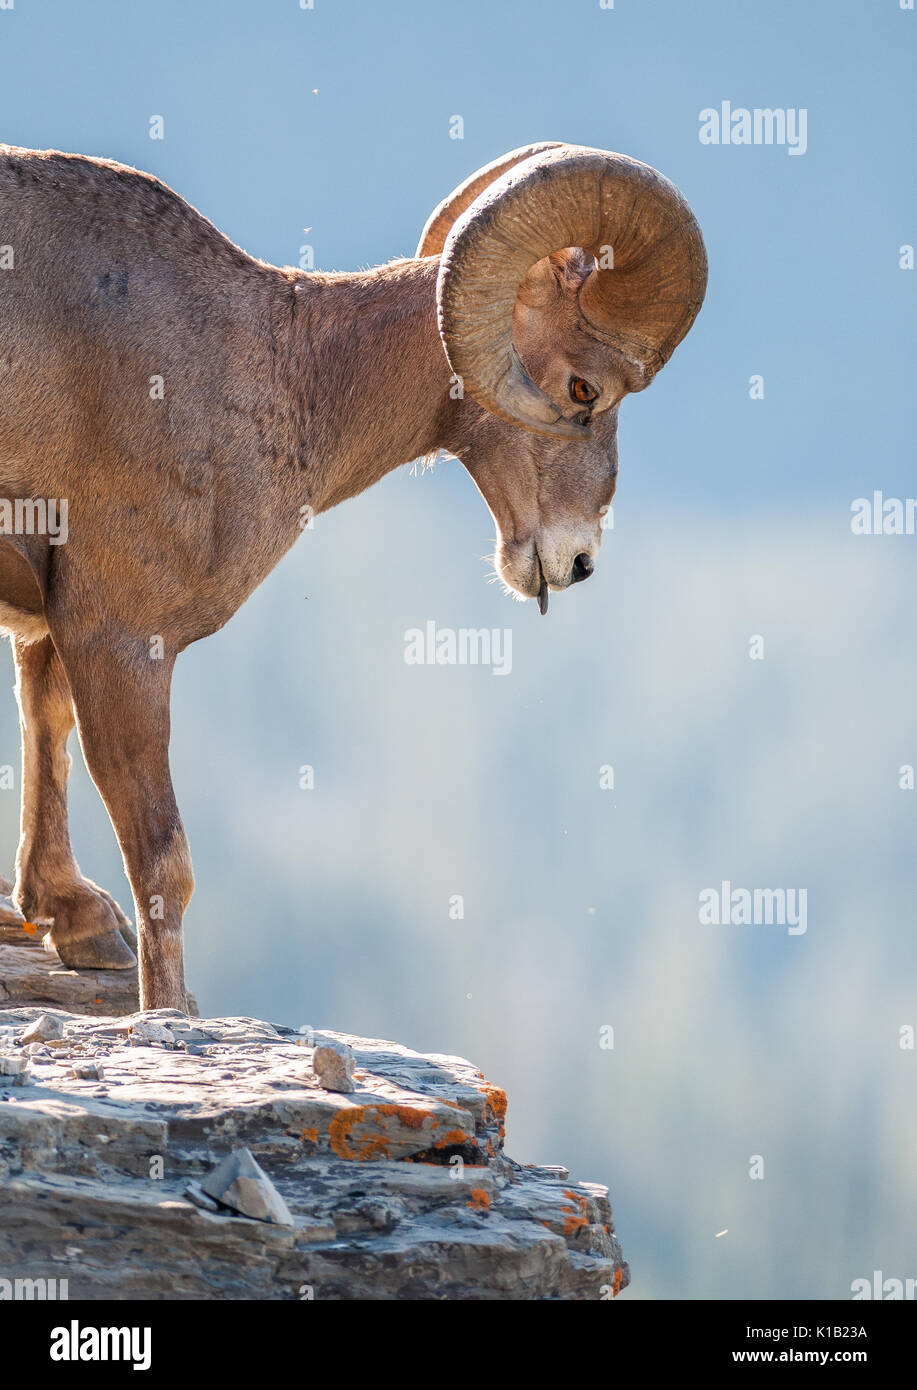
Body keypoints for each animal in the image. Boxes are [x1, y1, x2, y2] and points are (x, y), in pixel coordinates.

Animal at [0, 141, 707, 1010]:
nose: (575, 563)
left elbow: (46, 722)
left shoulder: (55, 624)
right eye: (584, 387)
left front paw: (75, 922)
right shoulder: (124, 640)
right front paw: (164, 1014)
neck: (278, 371)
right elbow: (164, 864)